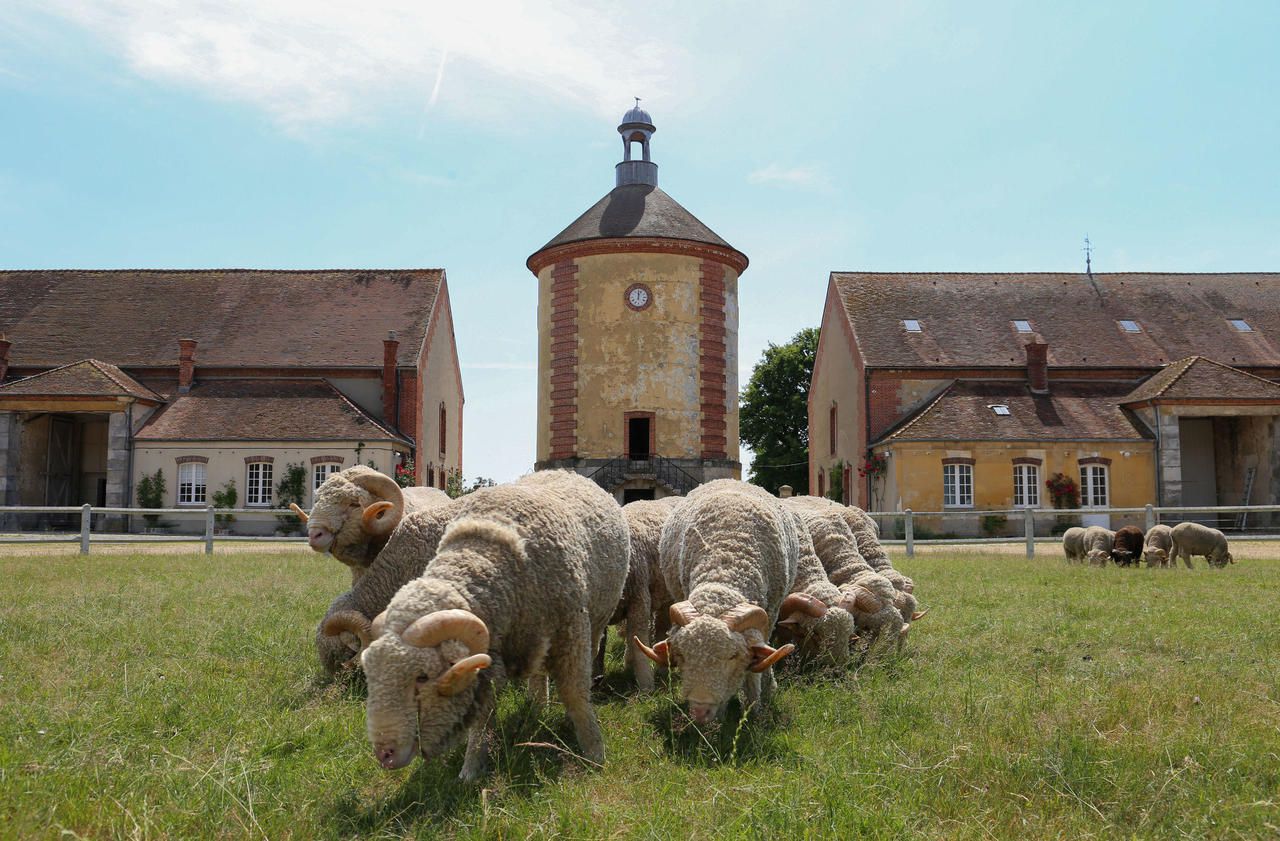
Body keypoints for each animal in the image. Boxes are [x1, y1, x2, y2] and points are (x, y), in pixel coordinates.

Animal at [358, 468, 627, 778]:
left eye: (422, 677)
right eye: (370, 674)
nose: (385, 754)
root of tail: (564, 471)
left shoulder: (571, 630)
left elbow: (575, 693)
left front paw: (594, 750)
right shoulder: (489, 655)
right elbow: (483, 717)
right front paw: (472, 767)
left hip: (596, 618)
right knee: (538, 673)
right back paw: (537, 706)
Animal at [634, 476, 793, 727]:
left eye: (733, 657)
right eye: (682, 656)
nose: (700, 711)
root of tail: (726, 479)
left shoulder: (771, 611)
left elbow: (754, 670)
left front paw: (754, 707)